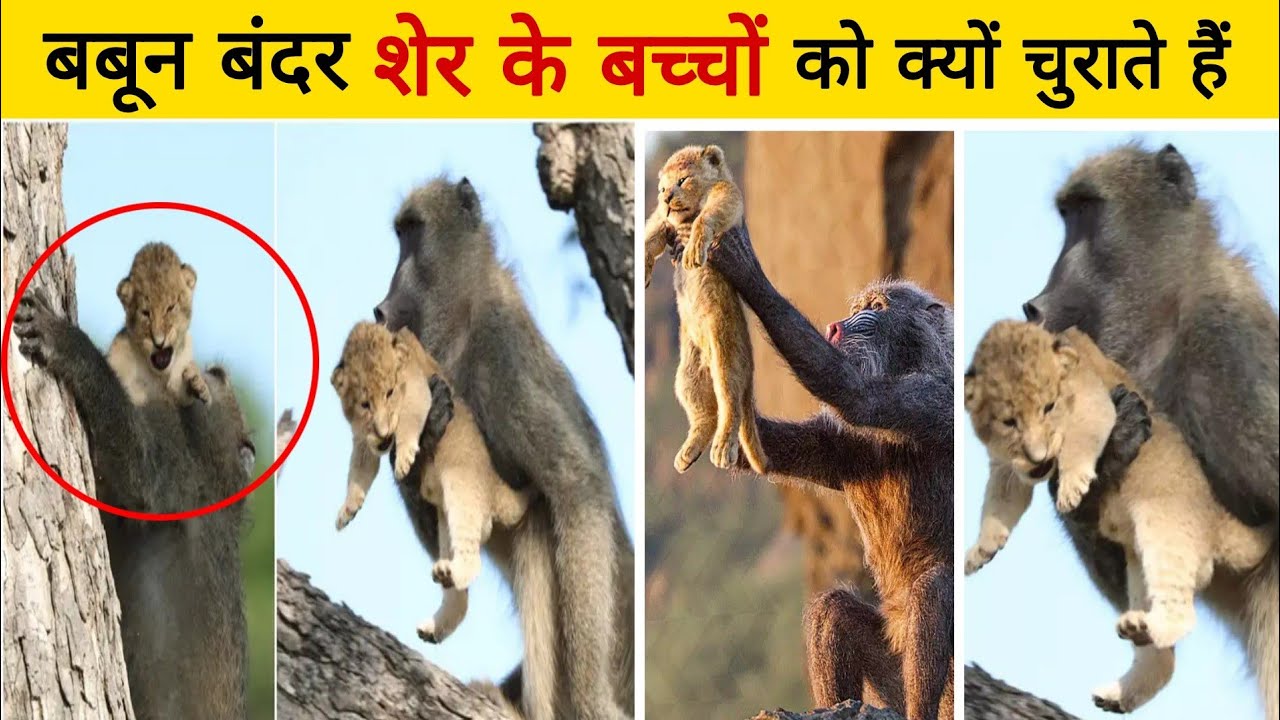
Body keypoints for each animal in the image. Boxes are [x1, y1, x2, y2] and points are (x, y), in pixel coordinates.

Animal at [329, 322, 532, 648]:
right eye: (364, 403)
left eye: (390, 392)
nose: (384, 435)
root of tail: (498, 489)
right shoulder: (363, 438)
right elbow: (359, 468)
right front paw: (348, 509)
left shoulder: (419, 388)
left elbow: (412, 418)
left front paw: (405, 457)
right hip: (445, 525)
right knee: (460, 598)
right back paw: (435, 623)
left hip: (462, 490)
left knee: (472, 560)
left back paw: (453, 571)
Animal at [374, 176, 634, 720]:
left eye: (411, 233)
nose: (381, 309)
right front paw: (425, 432)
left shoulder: (503, 353)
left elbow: (577, 486)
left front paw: (592, 703)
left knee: (539, 522)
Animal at [643, 144, 767, 474]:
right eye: (661, 188)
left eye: (682, 180)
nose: (666, 198)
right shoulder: (662, 221)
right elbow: (650, 234)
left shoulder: (728, 196)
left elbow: (709, 215)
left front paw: (694, 250)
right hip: (689, 371)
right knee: (706, 415)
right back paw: (689, 452)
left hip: (727, 354)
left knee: (730, 404)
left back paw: (723, 449)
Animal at [964, 321, 1270, 713]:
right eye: (1008, 421)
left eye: (1049, 408)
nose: (1038, 456)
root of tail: (1217, 517)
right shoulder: (1007, 465)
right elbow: (999, 500)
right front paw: (980, 550)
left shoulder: (1094, 402)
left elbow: (1082, 438)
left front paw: (1073, 487)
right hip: (1138, 572)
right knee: (1163, 658)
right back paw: (1121, 685)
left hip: (1163, 528)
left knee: (1182, 613)